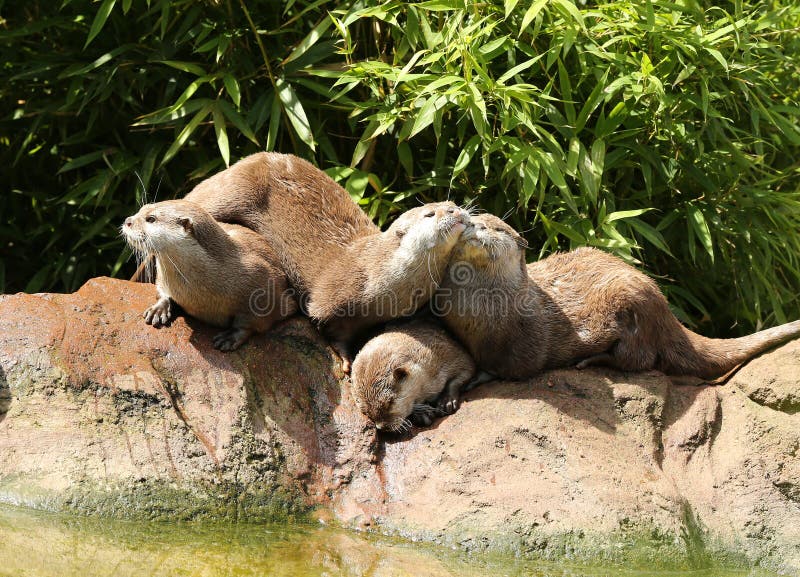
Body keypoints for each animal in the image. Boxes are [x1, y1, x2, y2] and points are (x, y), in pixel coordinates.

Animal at [122, 199, 297, 350]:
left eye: (151, 219)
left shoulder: (265, 287)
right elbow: (162, 289)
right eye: (142, 209)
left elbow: (255, 321)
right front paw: (159, 308)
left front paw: (231, 337)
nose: (127, 221)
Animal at [437, 213, 800, 381]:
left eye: (497, 228)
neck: (482, 310)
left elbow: (514, 368)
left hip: (633, 305)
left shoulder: (526, 341)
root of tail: (667, 311)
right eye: (472, 219)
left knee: (639, 360)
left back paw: (592, 360)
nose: (474, 226)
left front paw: (476, 381)